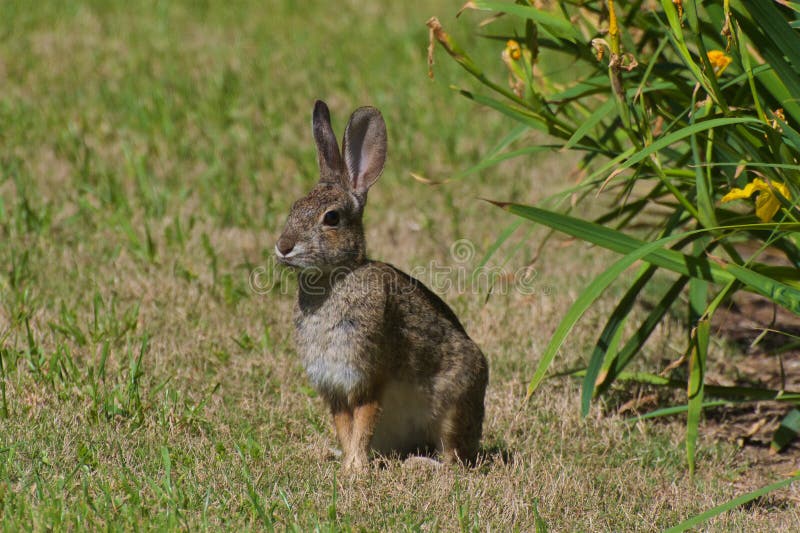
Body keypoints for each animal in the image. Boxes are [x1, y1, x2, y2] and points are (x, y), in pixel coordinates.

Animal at [275, 100, 488, 471]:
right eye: (295, 206)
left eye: (332, 218)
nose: (283, 246)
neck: (336, 278)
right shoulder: (333, 386)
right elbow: (344, 426)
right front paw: (347, 463)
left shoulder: (367, 376)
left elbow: (363, 421)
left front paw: (354, 470)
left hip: (453, 405)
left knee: (454, 459)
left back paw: (420, 464)